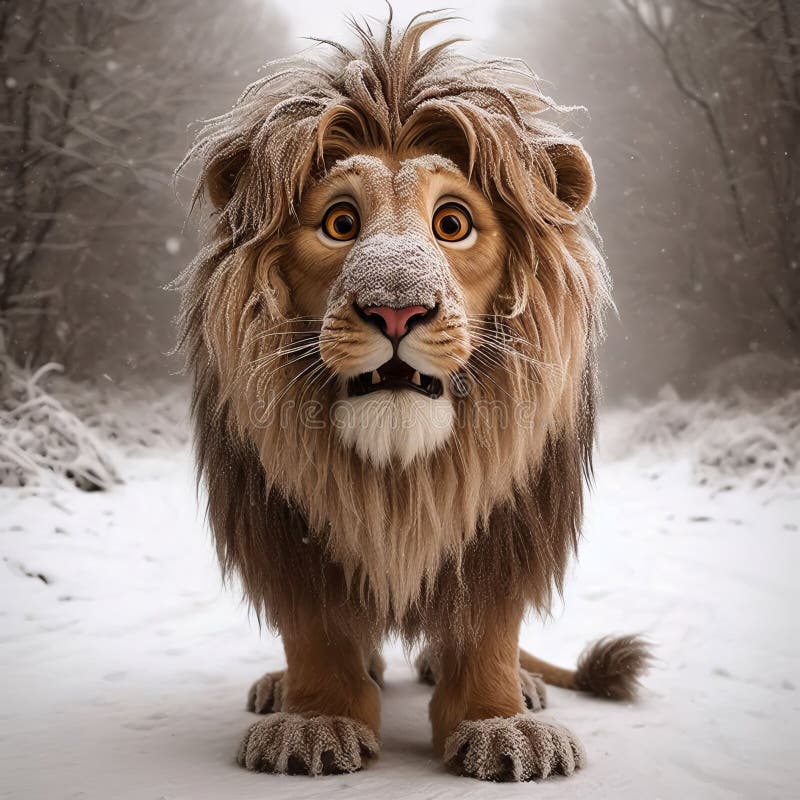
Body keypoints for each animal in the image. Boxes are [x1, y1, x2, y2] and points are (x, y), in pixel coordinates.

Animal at [176, 12, 651, 782]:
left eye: (452, 223)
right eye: (340, 223)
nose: (395, 310)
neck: (400, 478)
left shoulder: (500, 536)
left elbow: (487, 634)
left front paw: (502, 728)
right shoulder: (292, 541)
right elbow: (316, 636)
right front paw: (312, 723)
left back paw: (525, 685)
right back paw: (281, 688)